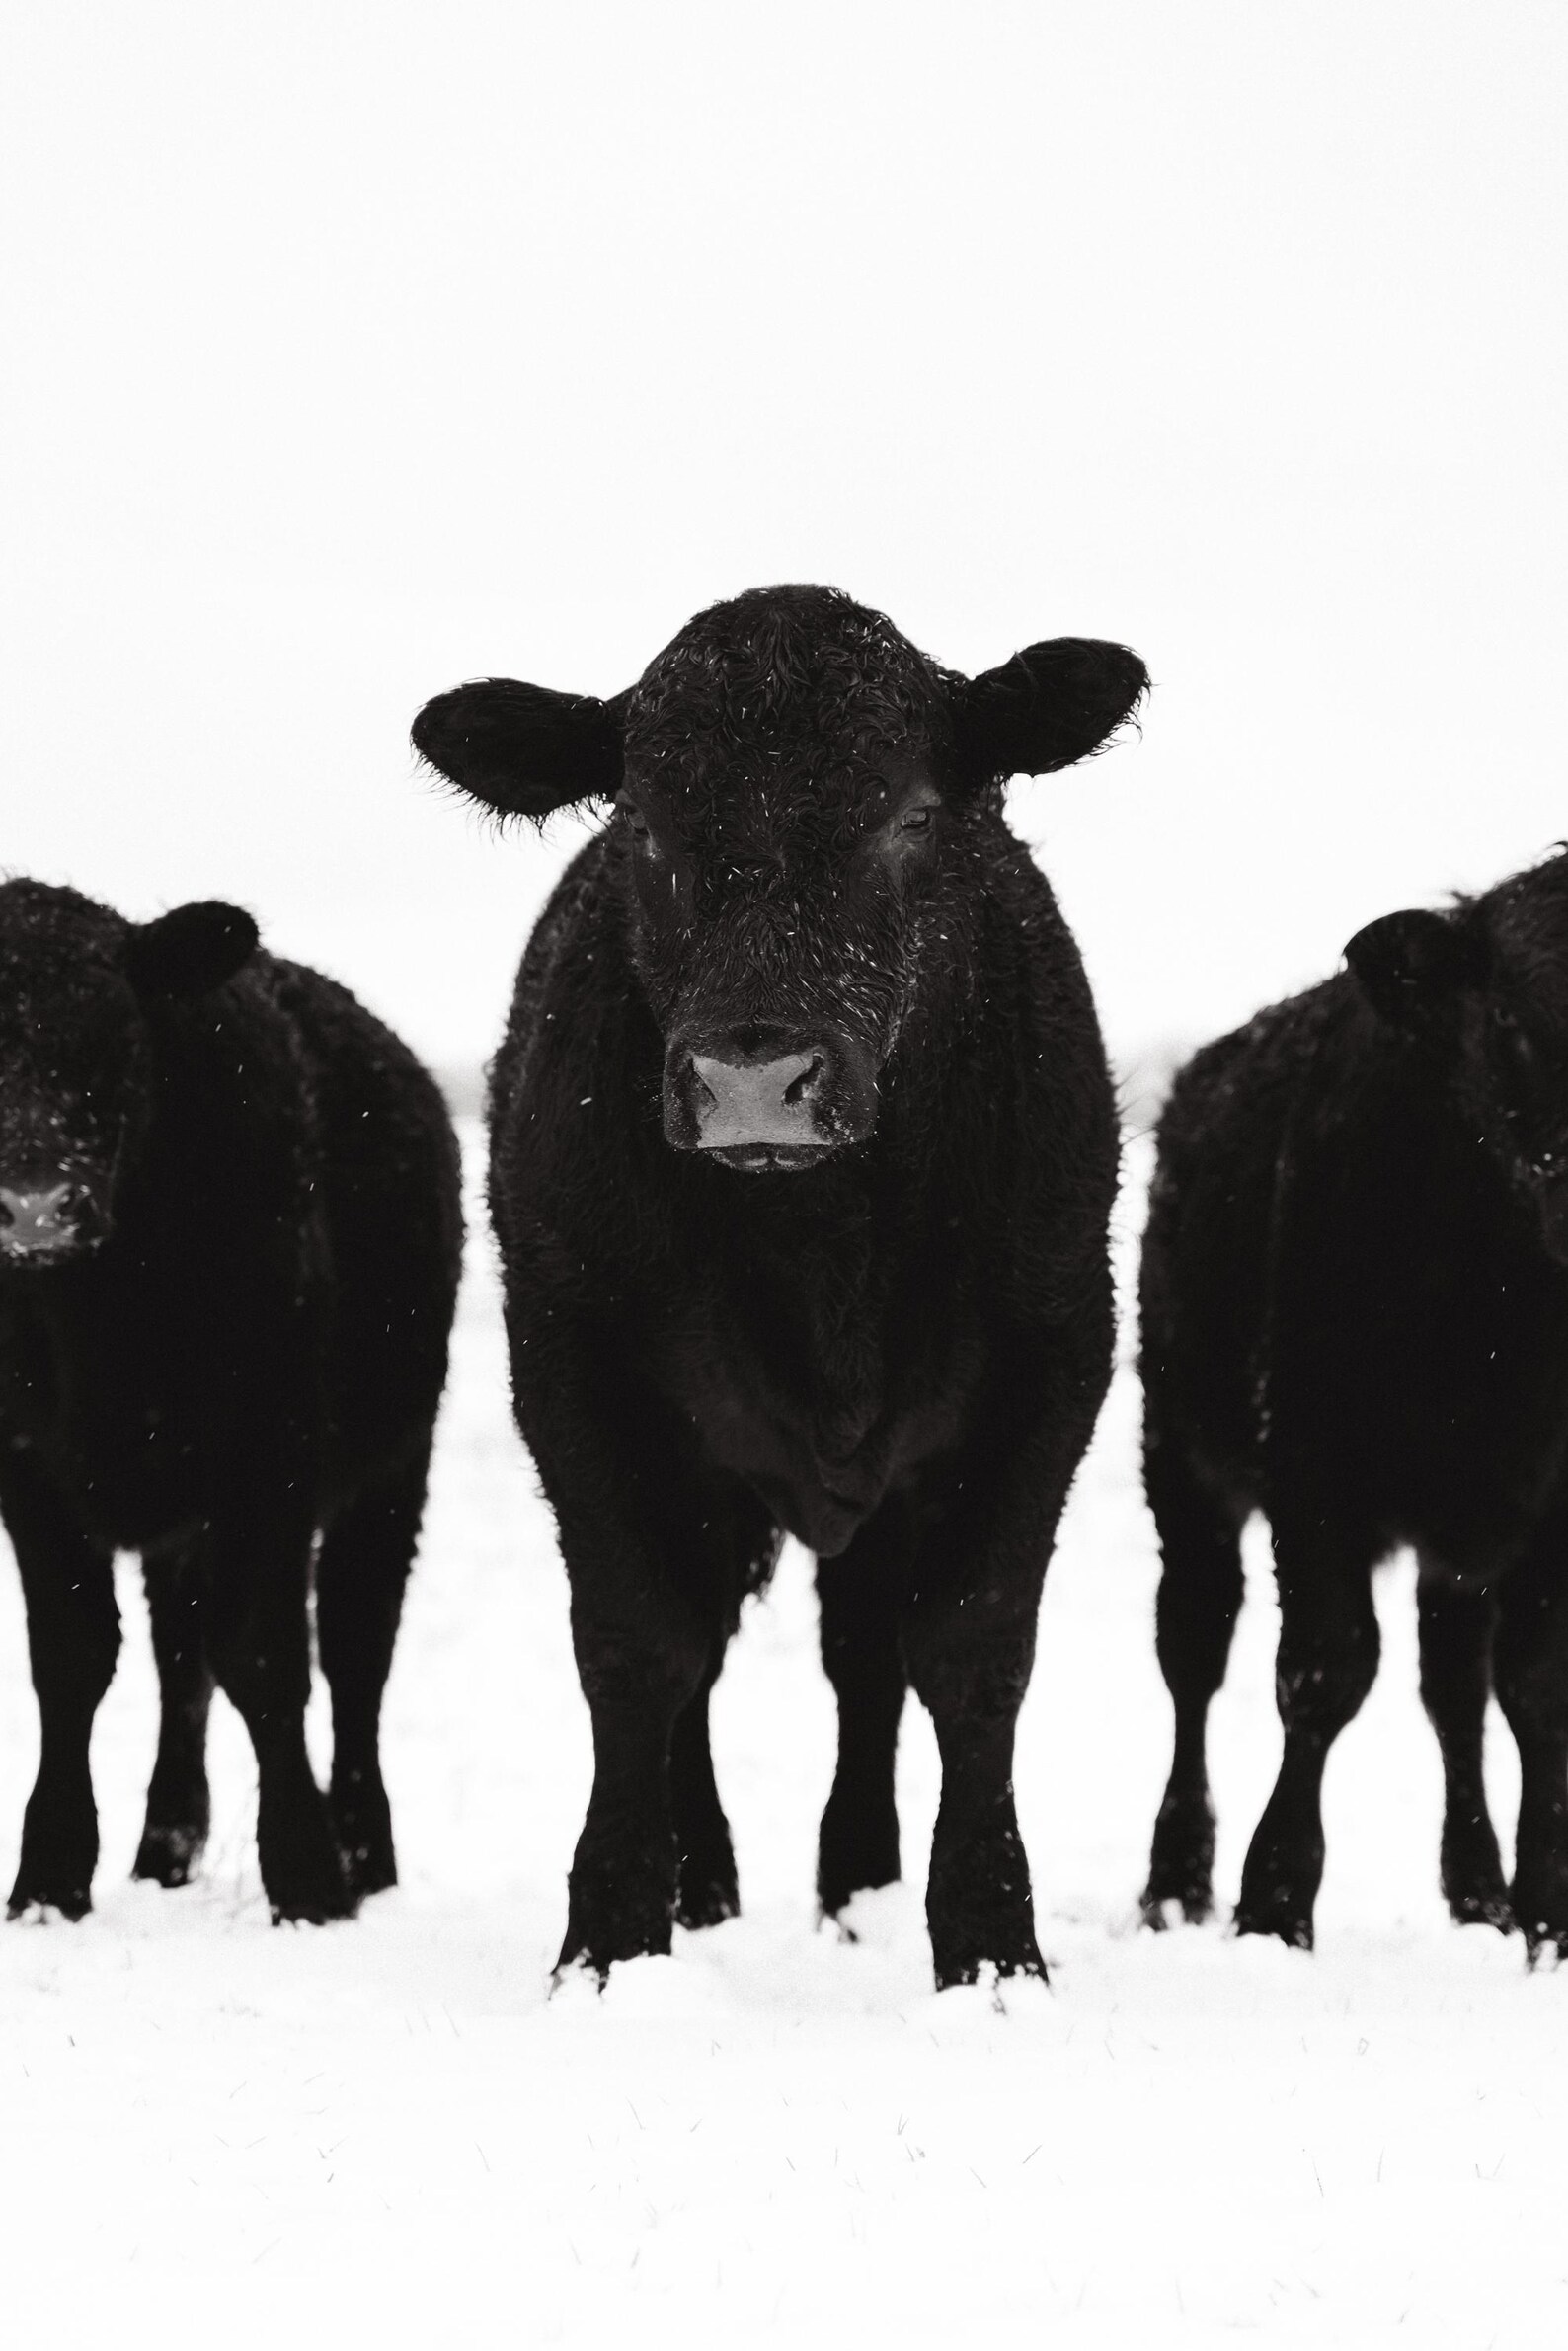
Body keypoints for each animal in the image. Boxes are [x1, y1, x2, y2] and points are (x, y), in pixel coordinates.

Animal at [0, 879, 463, 1923]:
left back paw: (365, 1855)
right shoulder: (28, 1466)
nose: (37, 1206)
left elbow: (263, 1653)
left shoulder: (271, 1448)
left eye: (119, 1039)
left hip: (391, 1471)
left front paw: (308, 1876)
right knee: (182, 1659)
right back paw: (163, 1851)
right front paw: (49, 1881)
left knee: (355, 1654)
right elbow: (72, 1658)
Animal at [414, 583, 1148, 1987]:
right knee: (707, 1652)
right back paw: (706, 1887)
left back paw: (856, 1886)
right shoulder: (573, 1363)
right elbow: (638, 1644)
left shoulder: (1050, 1360)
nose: (755, 1077)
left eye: (910, 815)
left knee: (862, 1655)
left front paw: (990, 1951)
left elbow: (971, 1644)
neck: (824, 1250)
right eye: (643, 823)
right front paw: (611, 1941)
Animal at [1140, 849, 1568, 1961]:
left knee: (1453, 1686)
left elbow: (1535, 1689)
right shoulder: (1312, 1467)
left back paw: (1479, 1893)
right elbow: (1325, 1668)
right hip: (1181, 1460)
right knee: (1193, 1650)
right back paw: (1174, 1883)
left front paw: (1547, 1911)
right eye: (1509, 1019)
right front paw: (1272, 1903)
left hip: (1453, 1543)